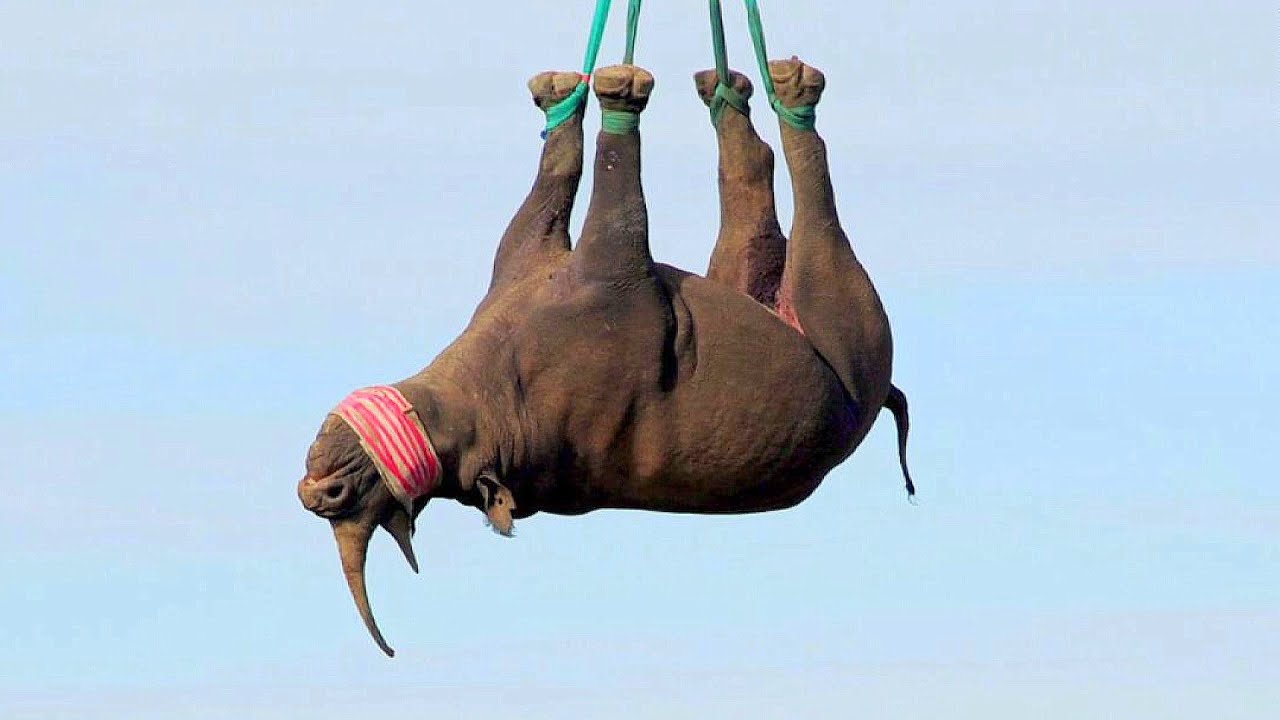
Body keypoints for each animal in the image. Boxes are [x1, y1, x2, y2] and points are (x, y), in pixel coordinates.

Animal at [297, 59, 913, 656]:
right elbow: (617, 198)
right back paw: (787, 92)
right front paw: (617, 95)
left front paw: (562, 99)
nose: (318, 493)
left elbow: (557, 179)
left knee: (750, 184)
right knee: (802, 206)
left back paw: (732, 89)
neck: (493, 389)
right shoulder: (613, 281)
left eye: (346, 497)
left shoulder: (531, 259)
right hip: (847, 328)